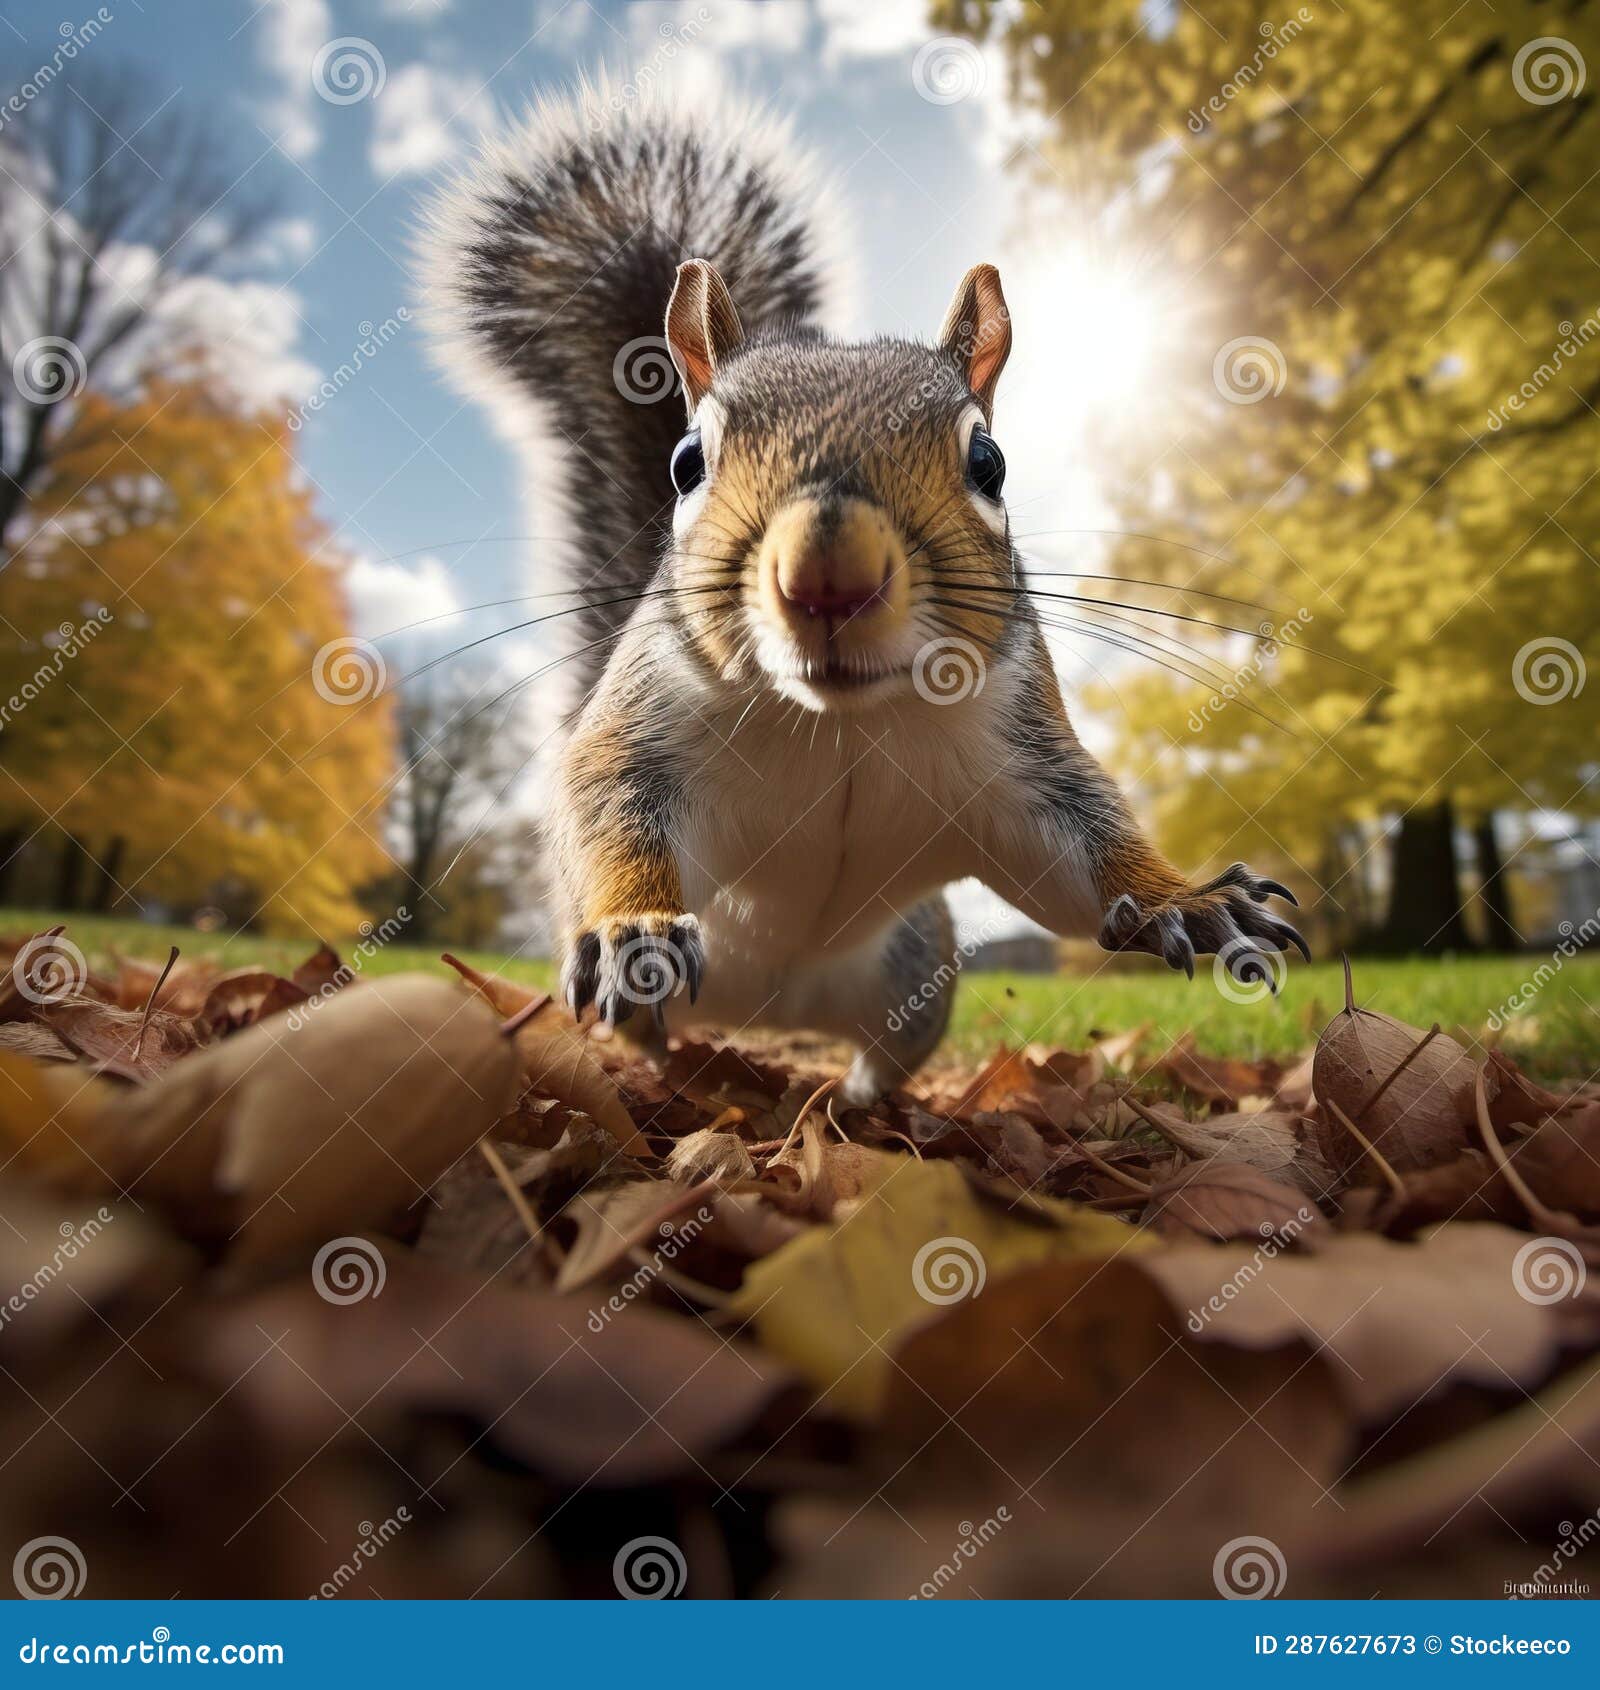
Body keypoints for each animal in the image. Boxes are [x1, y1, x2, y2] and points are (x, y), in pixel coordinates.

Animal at [422, 80, 1308, 1103]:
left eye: (989, 462)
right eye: (686, 464)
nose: (827, 578)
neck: (844, 724)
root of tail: (772, 1010)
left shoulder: (1020, 761)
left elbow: (1084, 856)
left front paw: (1189, 900)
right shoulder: (640, 729)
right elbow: (610, 811)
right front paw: (632, 925)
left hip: (917, 984)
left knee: (887, 1057)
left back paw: (866, 1102)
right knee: (649, 1030)